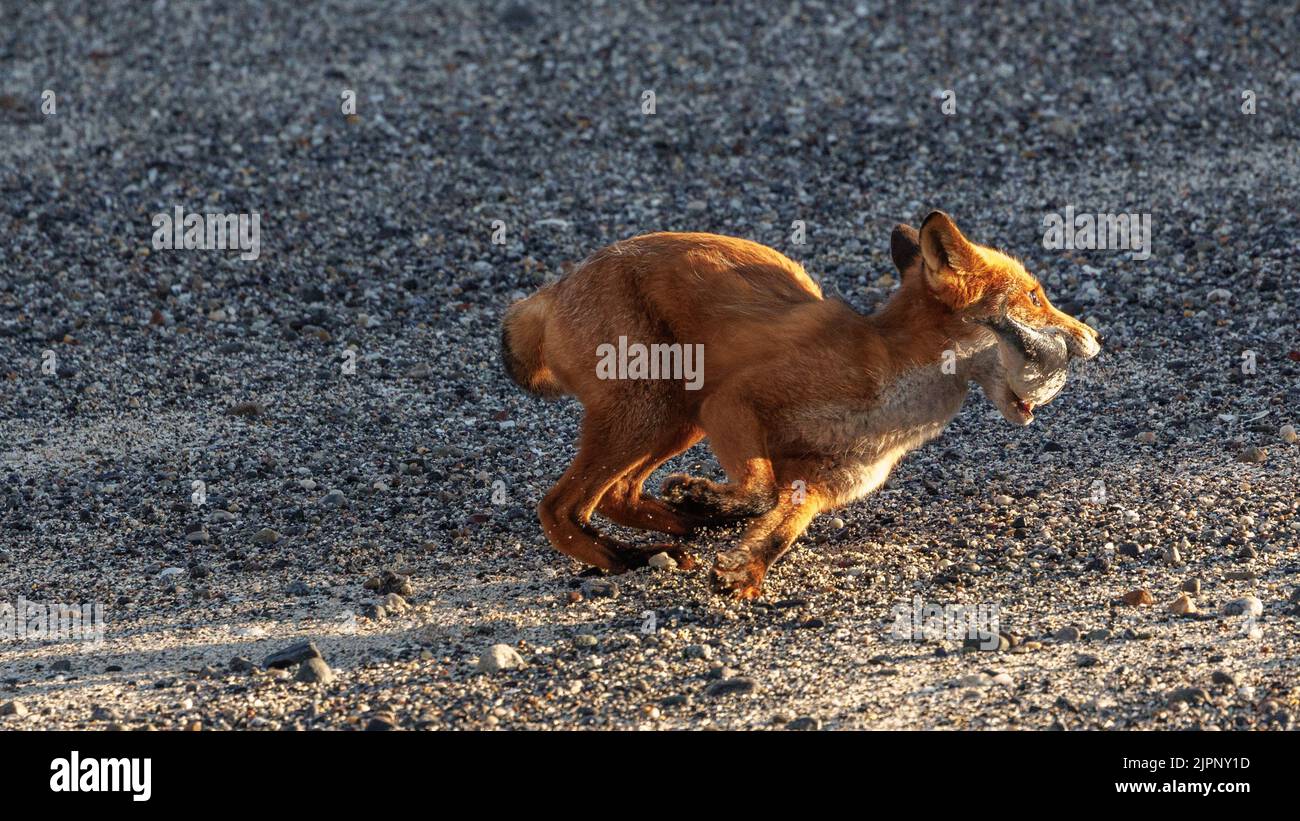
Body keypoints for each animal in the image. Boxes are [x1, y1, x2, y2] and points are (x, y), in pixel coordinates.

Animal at [501, 211, 1101, 598]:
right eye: (1035, 298)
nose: (1096, 338)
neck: (887, 397)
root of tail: (553, 288)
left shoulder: (819, 483)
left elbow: (780, 529)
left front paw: (742, 569)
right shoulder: (734, 401)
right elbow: (759, 490)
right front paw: (715, 505)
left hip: (676, 420)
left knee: (615, 496)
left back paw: (675, 530)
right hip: (660, 407)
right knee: (559, 508)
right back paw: (627, 555)